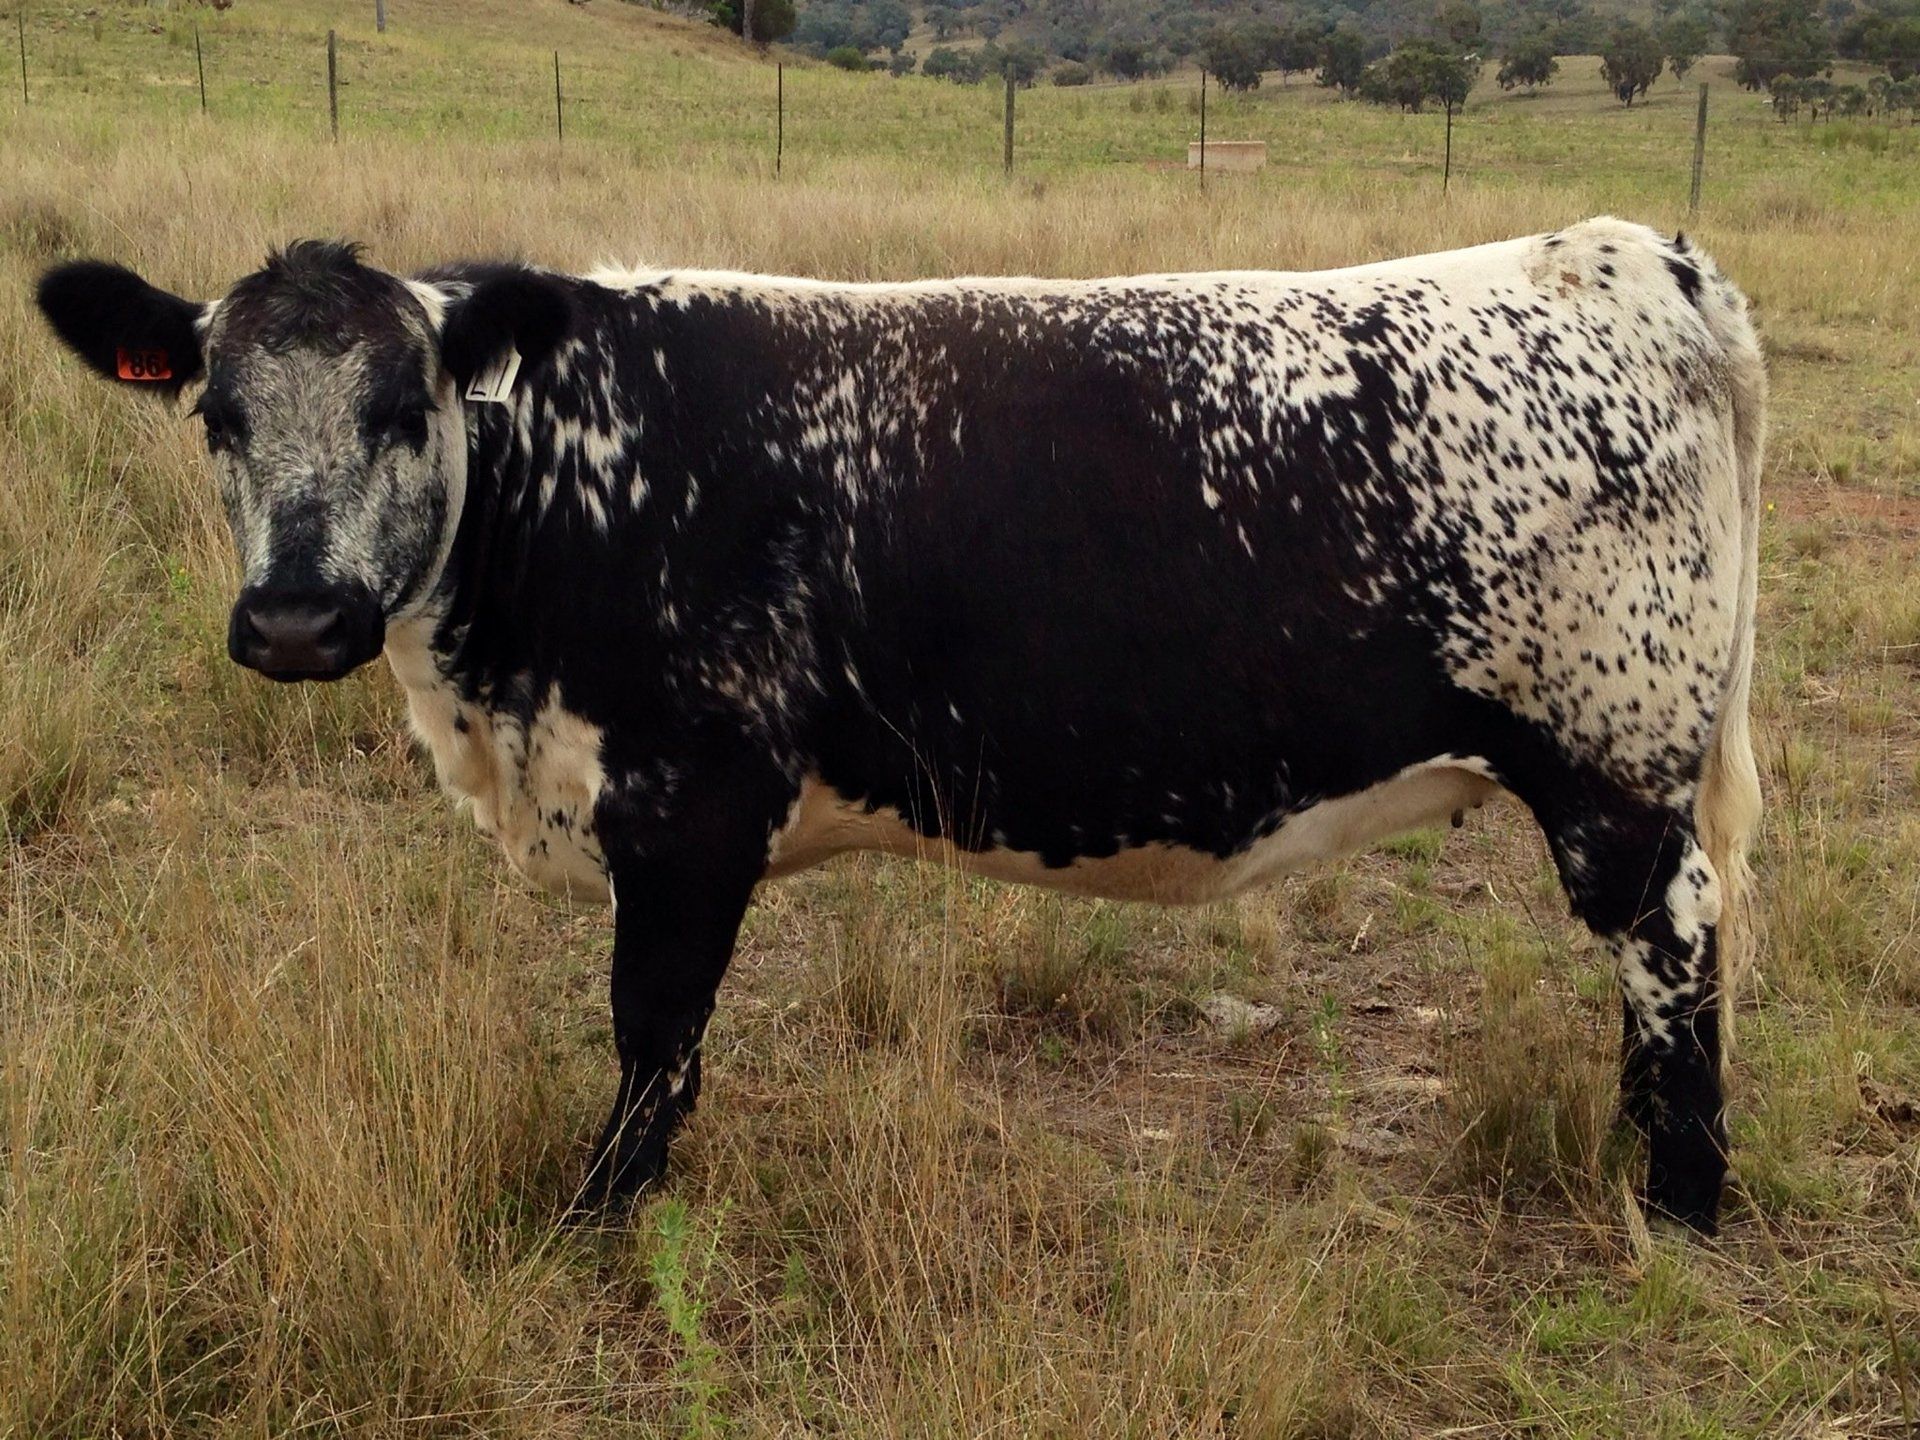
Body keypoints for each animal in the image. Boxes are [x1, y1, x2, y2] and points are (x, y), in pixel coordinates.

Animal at [35, 216, 1764, 1233]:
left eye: (407, 412)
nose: (295, 623)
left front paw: (602, 1211)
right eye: (216, 415)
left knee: (1674, 943)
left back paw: (1680, 1193)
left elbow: (653, 1029)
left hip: (1612, 761)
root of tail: (1622, 254)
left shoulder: (689, 808)